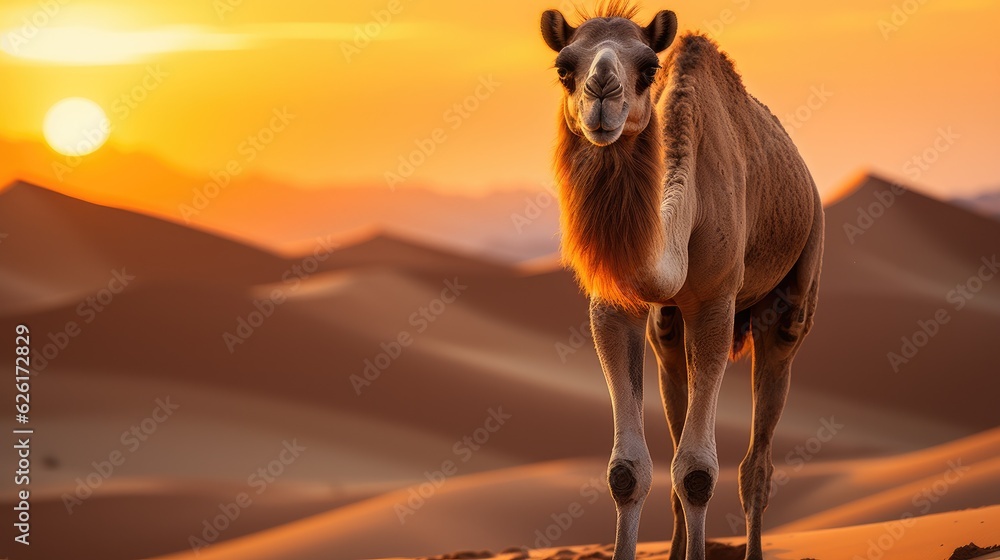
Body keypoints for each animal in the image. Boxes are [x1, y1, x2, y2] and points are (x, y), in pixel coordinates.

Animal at [539, 3, 824, 560]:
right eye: (564, 67)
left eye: (648, 68)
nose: (602, 90)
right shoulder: (614, 305)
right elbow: (627, 472)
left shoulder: (716, 300)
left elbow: (696, 473)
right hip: (669, 328)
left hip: (798, 282)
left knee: (757, 460)